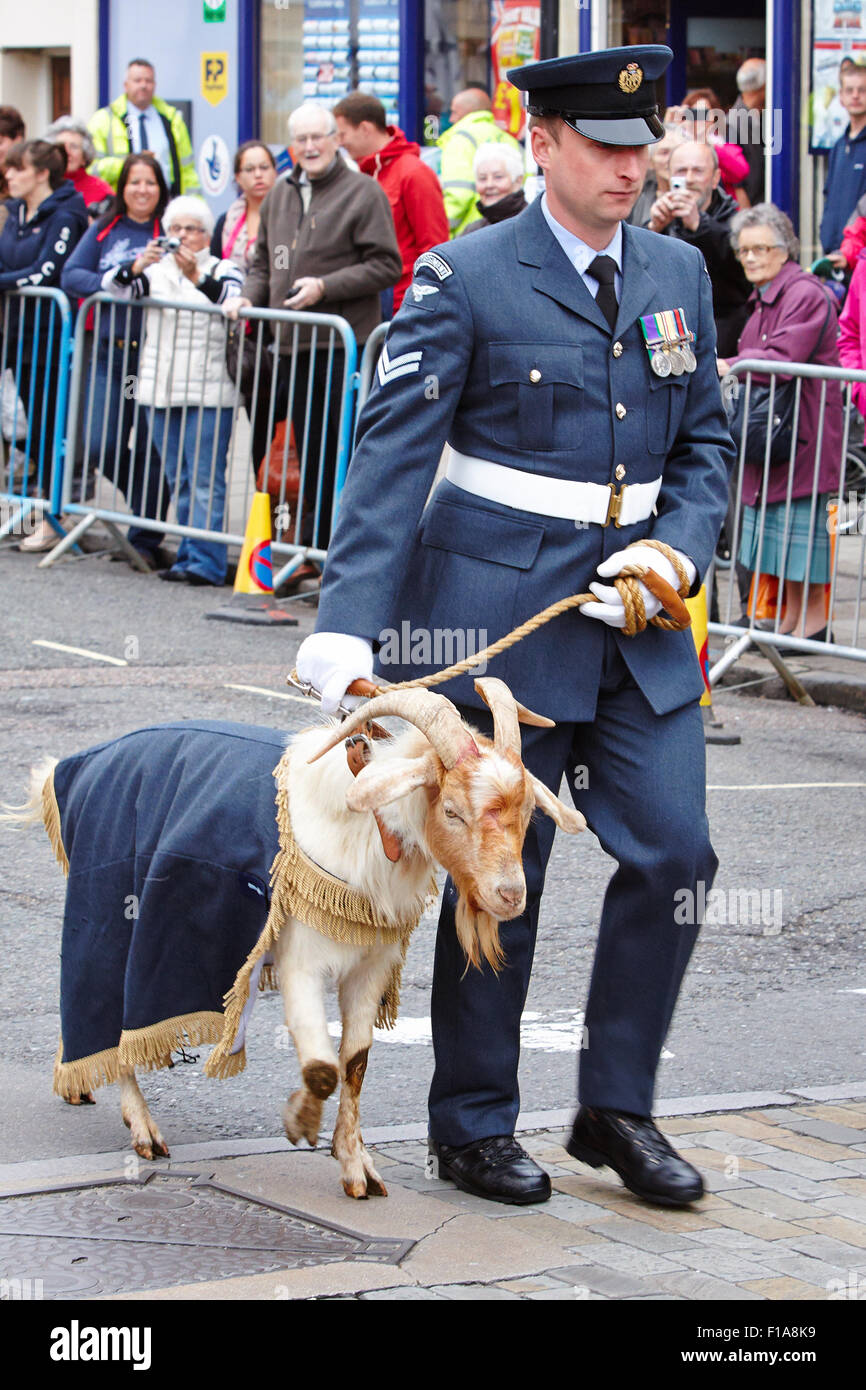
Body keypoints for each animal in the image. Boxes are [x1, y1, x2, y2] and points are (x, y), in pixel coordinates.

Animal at [5, 678, 583, 1200]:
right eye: (452, 810)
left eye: (526, 814)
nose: (510, 896)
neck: (369, 830)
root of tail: (79, 765)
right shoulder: (301, 960)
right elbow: (323, 1069)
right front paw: (300, 1123)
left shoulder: (368, 968)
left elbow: (354, 1065)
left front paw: (357, 1168)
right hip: (108, 910)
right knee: (107, 1012)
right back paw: (141, 1126)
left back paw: (75, 1079)